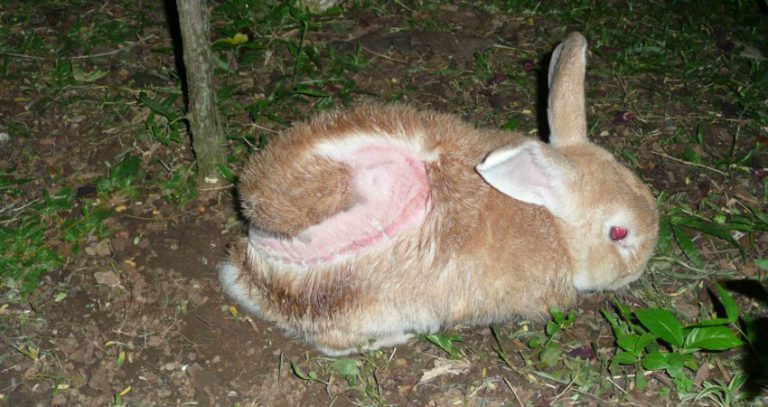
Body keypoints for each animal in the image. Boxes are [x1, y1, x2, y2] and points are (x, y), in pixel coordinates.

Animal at [219, 32, 659, 355]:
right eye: (619, 233)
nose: (637, 271)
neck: (551, 221)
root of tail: (253, 255)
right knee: (332, 343)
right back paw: (397, 338)